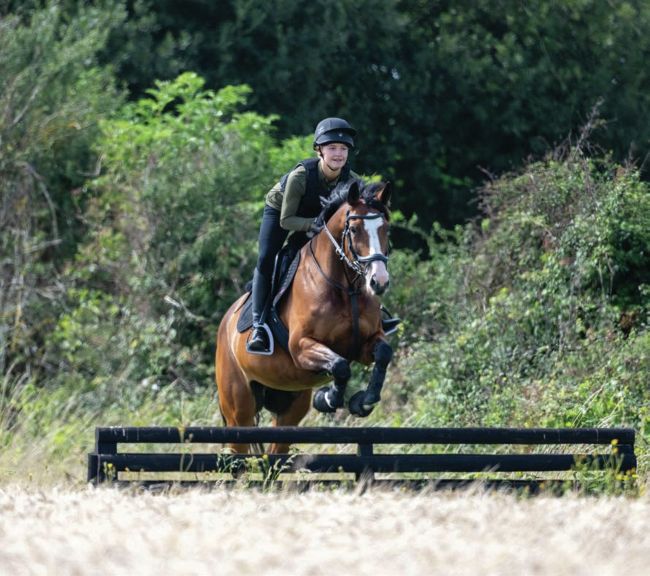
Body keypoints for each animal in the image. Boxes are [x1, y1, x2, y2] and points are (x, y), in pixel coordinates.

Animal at [215, 180, 393, 453]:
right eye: (353, 229)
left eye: (386, 228)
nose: (379, 281)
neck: (347, 289)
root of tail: (225, 324)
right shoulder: (301, 347)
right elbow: (340, 366)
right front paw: (327, 398)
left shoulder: (366, 343)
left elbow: (383, 353)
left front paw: (362, 401)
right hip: (238, 409)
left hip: (290, 404)